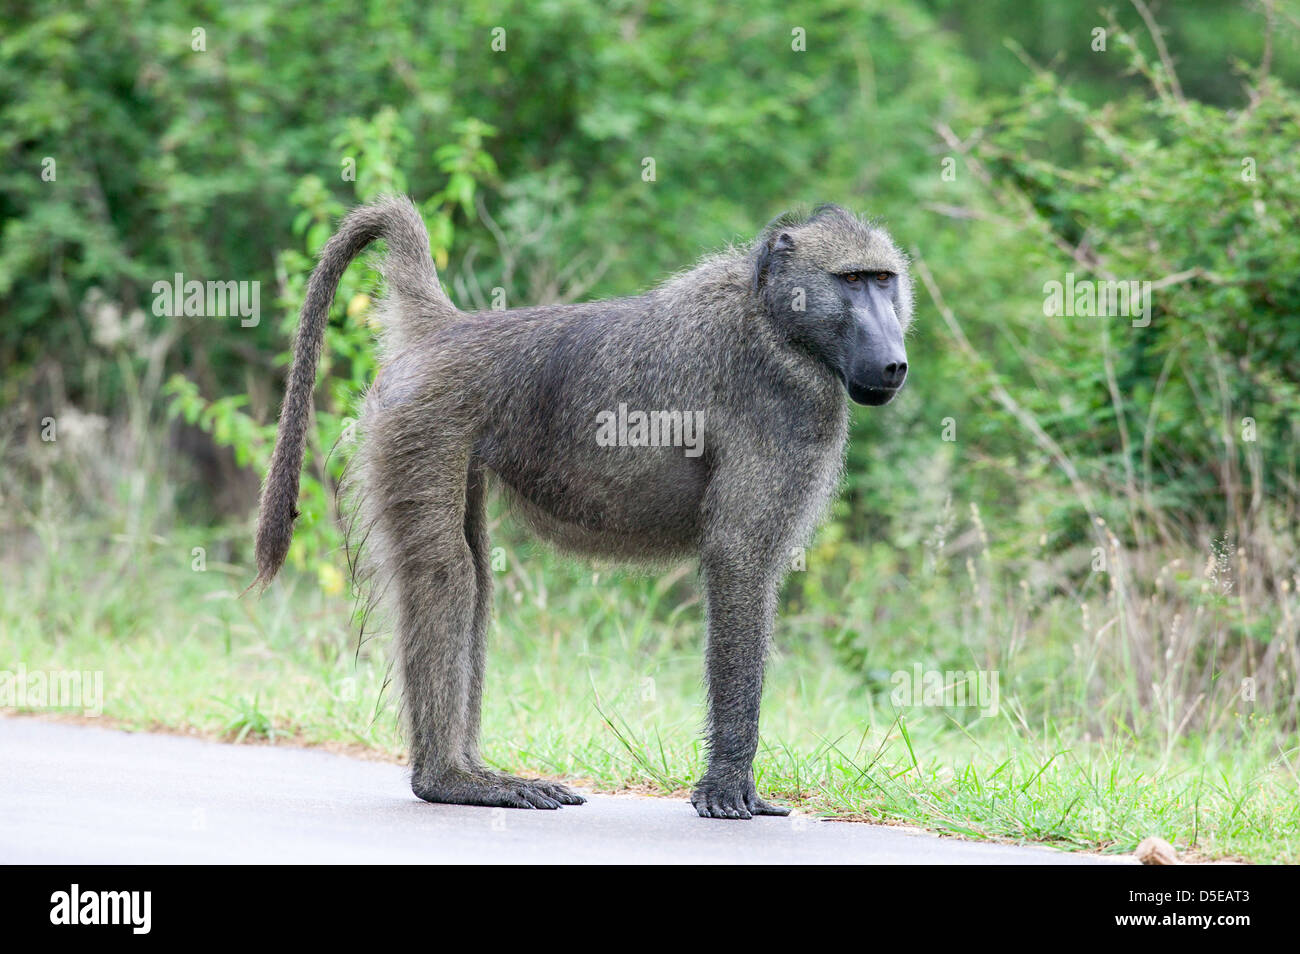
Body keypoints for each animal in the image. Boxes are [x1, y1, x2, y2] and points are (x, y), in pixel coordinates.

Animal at [254, 196, 912, 819]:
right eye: (852, 280)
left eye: (885, 280)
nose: (894, 361)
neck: (775, 315)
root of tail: (449, 329)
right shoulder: (792, 401)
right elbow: (739, 555)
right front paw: (728, 790)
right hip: (422, 423)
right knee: (447, 574)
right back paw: (451, 782)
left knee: (474, 575)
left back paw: (471, 771)